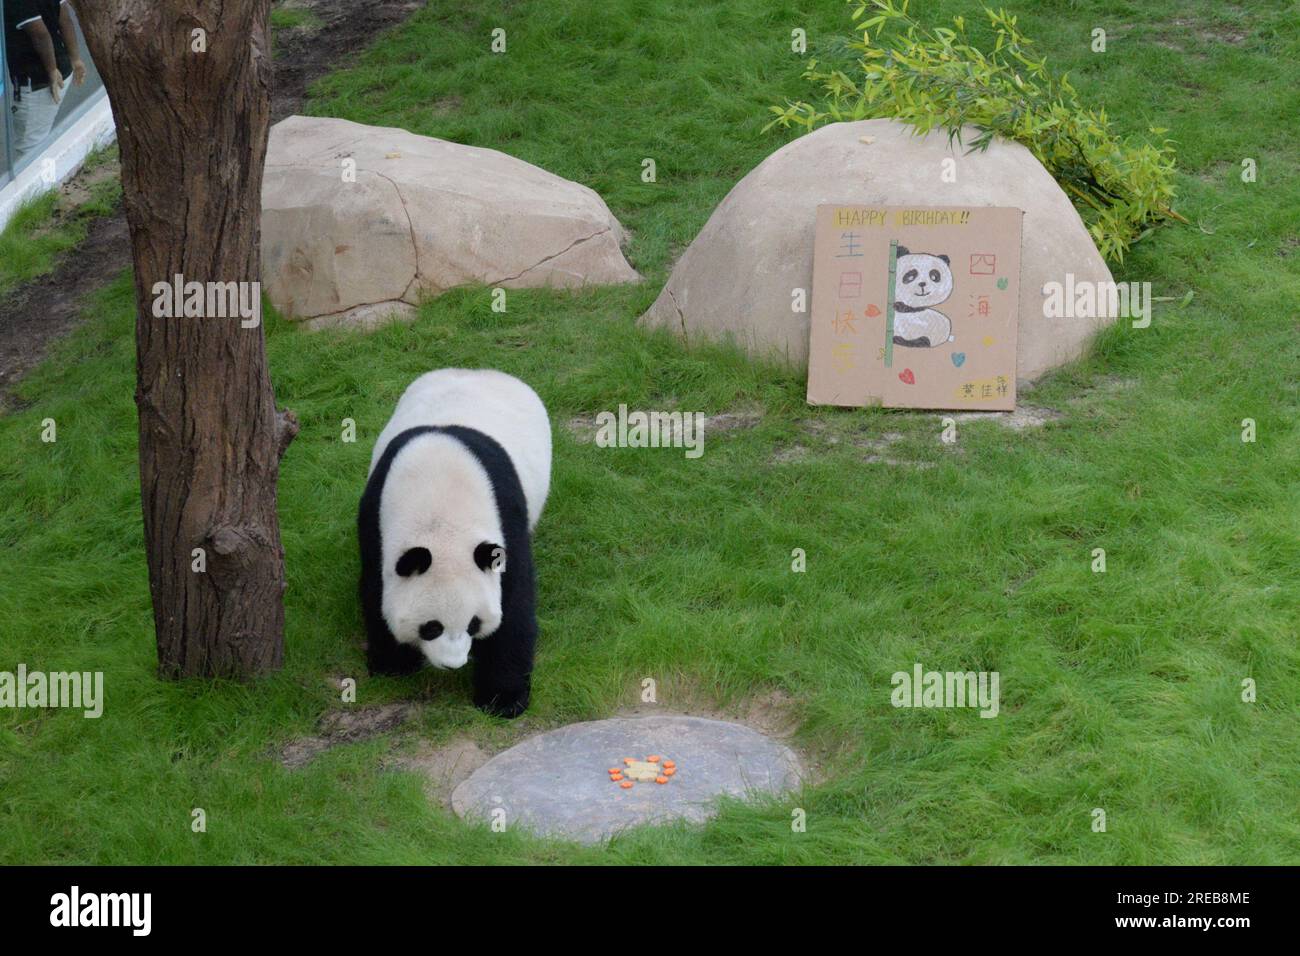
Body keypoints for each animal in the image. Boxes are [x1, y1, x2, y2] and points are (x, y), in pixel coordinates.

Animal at [357, 368, 551, 718]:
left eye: (474, 624)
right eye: (431, 627)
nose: (453, 664)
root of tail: (477, 371)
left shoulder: (505, 518)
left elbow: (514, 604)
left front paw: (502, 699)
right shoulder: (374, 518)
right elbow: (375, 589)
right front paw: (392, 664)